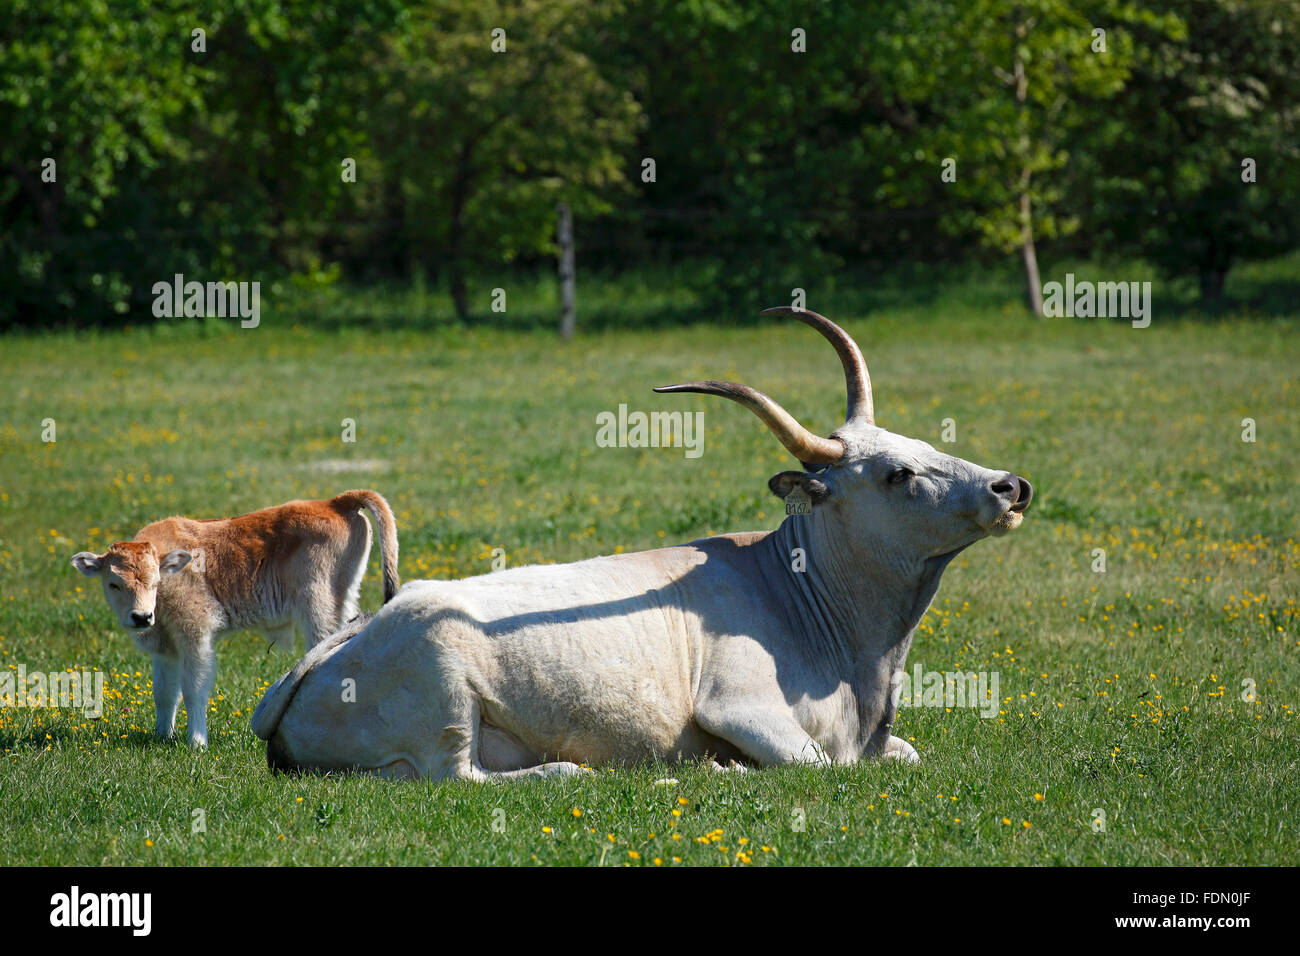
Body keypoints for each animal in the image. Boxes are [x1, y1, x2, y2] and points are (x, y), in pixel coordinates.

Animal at [72, 490, 400, 748]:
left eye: (155, 582)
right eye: (114, 583)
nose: (141, 617)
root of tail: (334, 502)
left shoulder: (196, 636)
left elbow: (193, 689)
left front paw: (197, 743)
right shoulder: (165, 649)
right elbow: (164, 693)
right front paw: (163, 736)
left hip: (319, 609)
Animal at [252, 309, 1031, 779]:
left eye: (923, 445)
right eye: (897, 474)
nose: (1011, 486)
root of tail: (330, 652)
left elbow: (908, 754)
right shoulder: (739, 707)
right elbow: (814, 763)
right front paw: (719, 767)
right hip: (447, 695)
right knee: (461, 776)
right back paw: (571, 770)